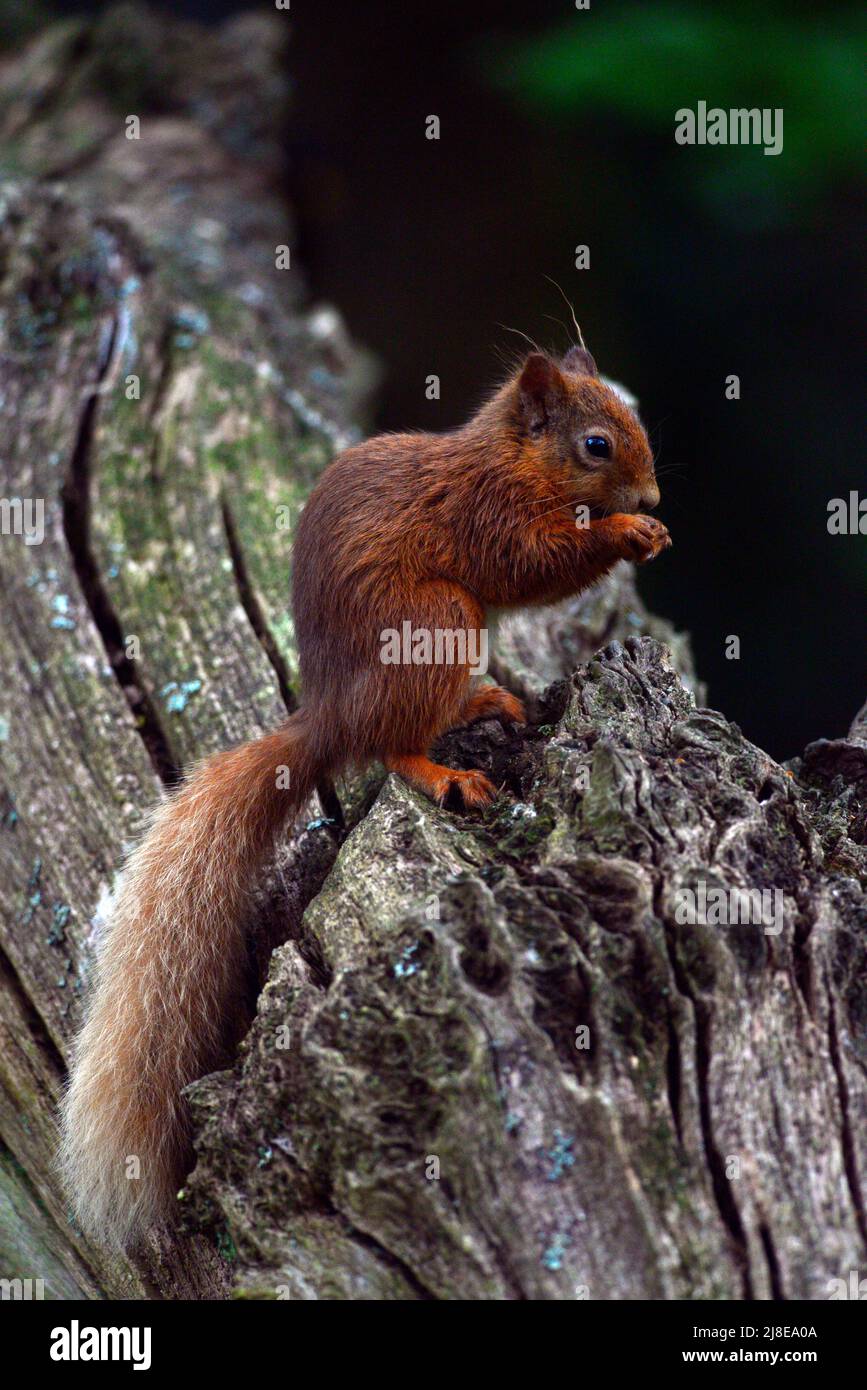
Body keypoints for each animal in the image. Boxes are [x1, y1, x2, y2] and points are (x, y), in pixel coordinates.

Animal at [60, 343, 670, 1247]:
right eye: (596, 445)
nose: (653, 500)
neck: (509, 460)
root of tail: (331, 717)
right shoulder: (486, 517)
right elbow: (531, 563)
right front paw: (626, 533)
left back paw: (481, 705)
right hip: (438, 619)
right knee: (393, 746)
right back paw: (443, 769)